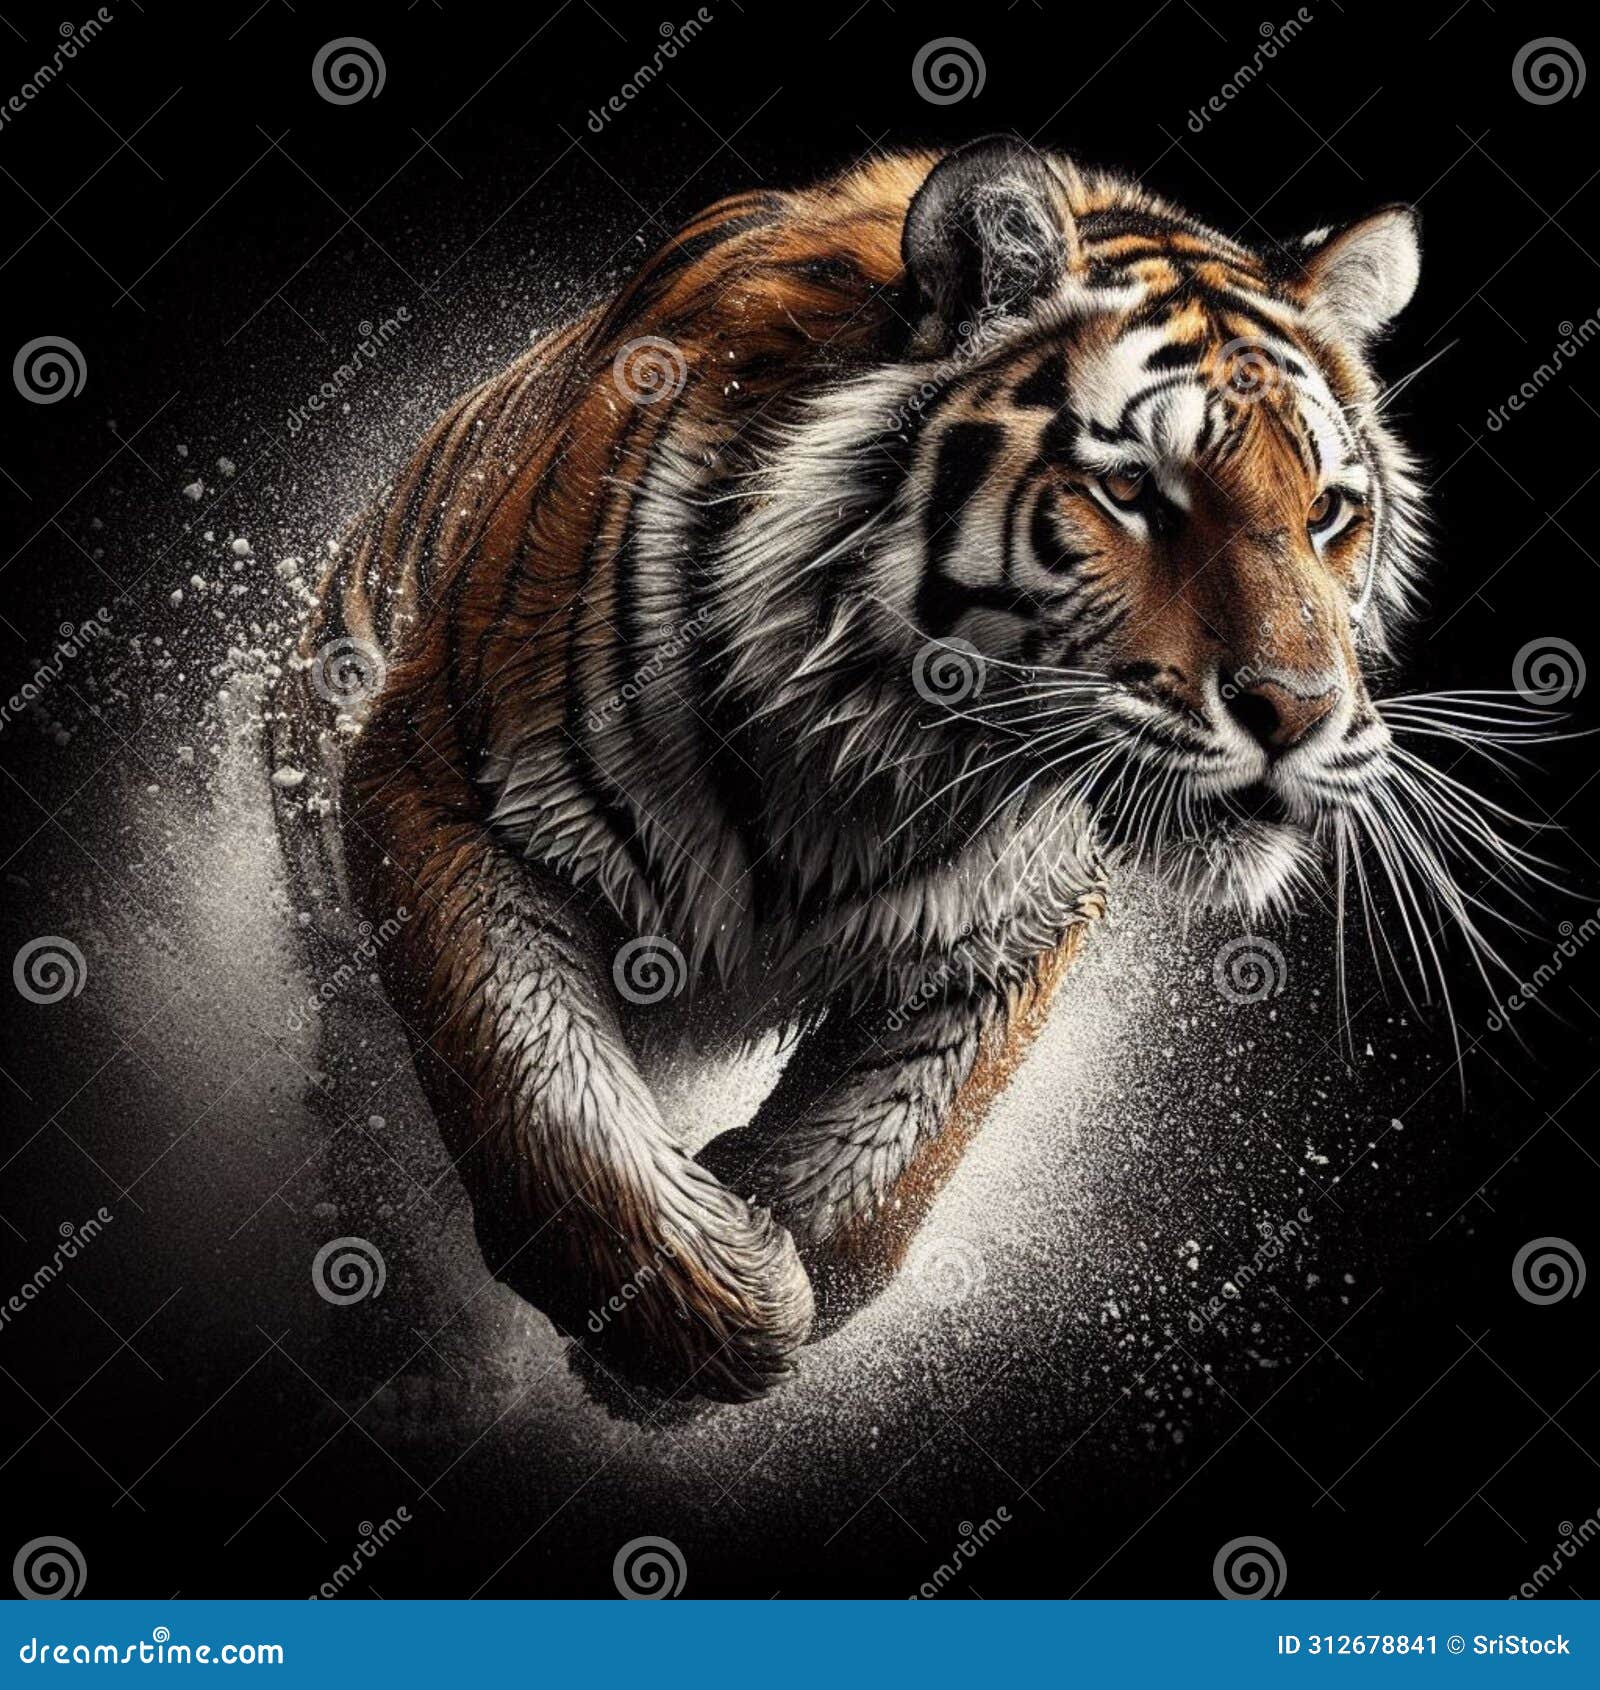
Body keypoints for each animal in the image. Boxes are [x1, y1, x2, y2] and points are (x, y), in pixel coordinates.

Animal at [270, 134, 1500, 1406]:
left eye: (1328, 511)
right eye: (1130, 491)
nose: (1298, 710)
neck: (882, 749)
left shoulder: (1014, 924)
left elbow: (888, 1170)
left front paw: (743, 1265)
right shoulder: (440, 786)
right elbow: (546, 1108)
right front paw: (714, 1303)